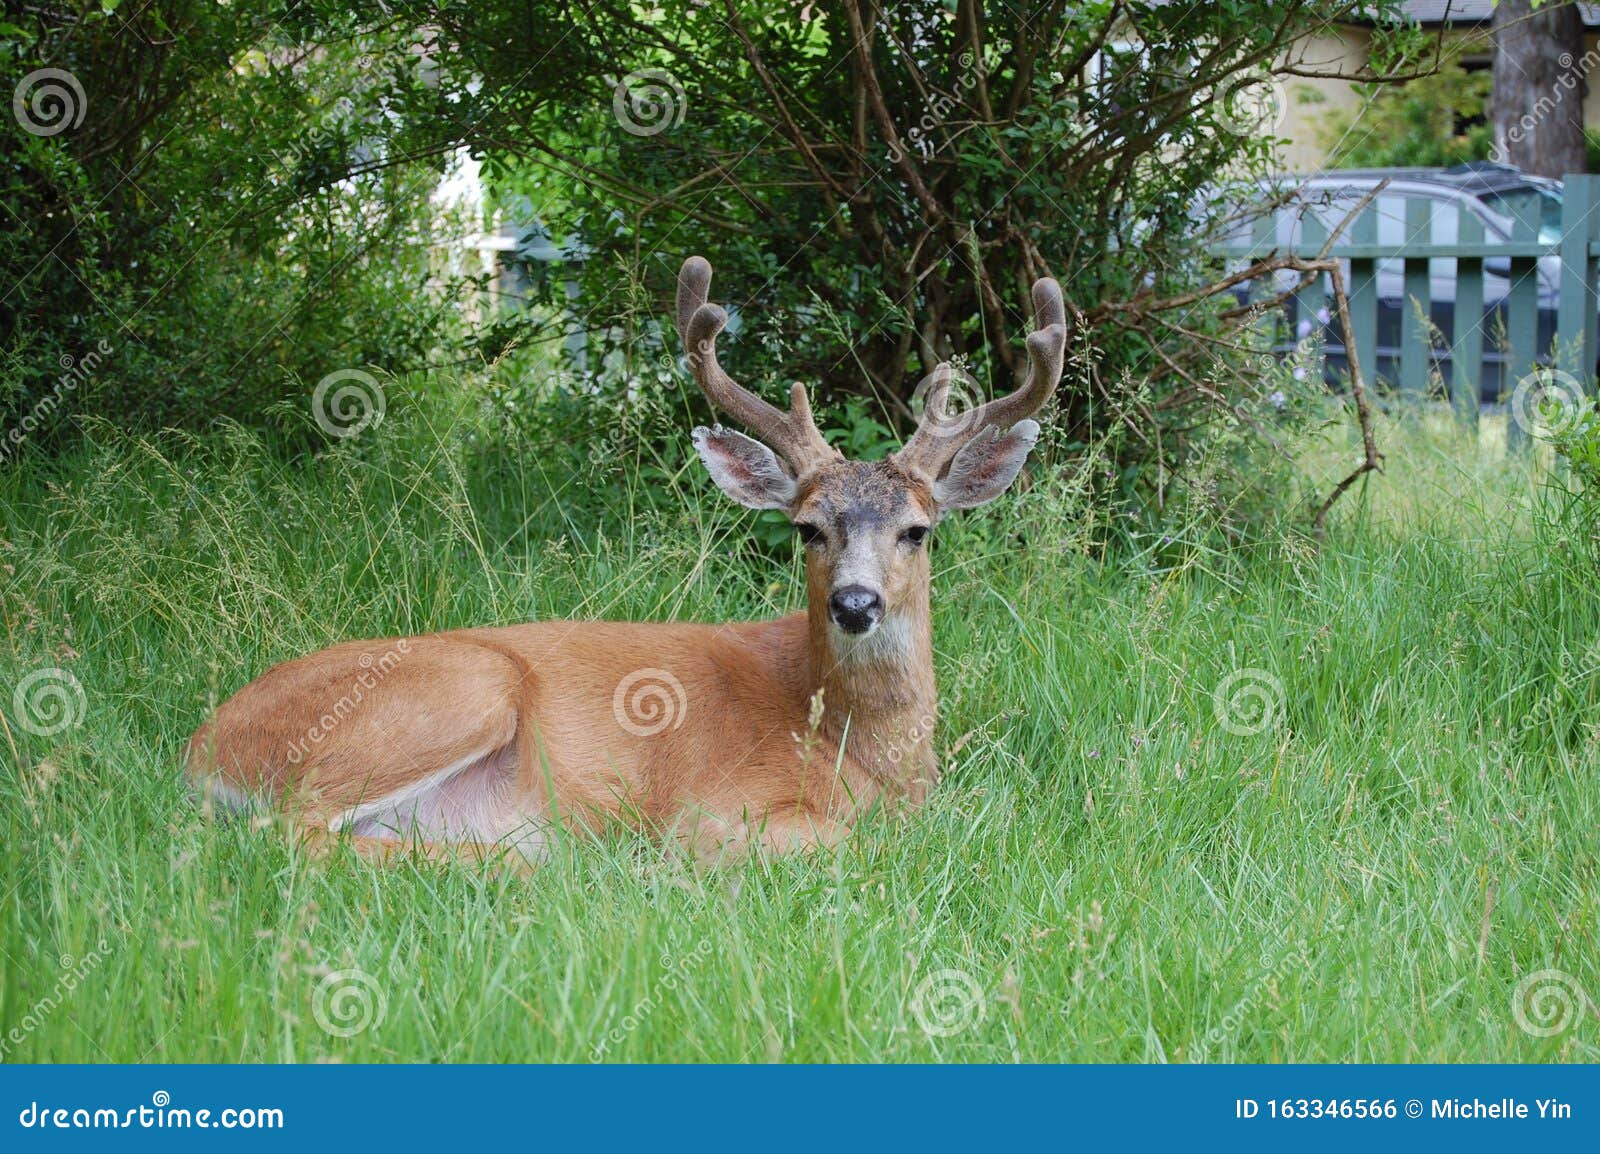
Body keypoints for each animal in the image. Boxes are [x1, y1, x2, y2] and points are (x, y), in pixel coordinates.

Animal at [184, 256, 1066, 864]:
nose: (855, 604)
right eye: (807, 529)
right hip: (460, 688)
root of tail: (201, 750)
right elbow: (840, 842)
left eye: (919, 530)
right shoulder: (718, 805)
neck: (873, 752)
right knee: (282, 835)